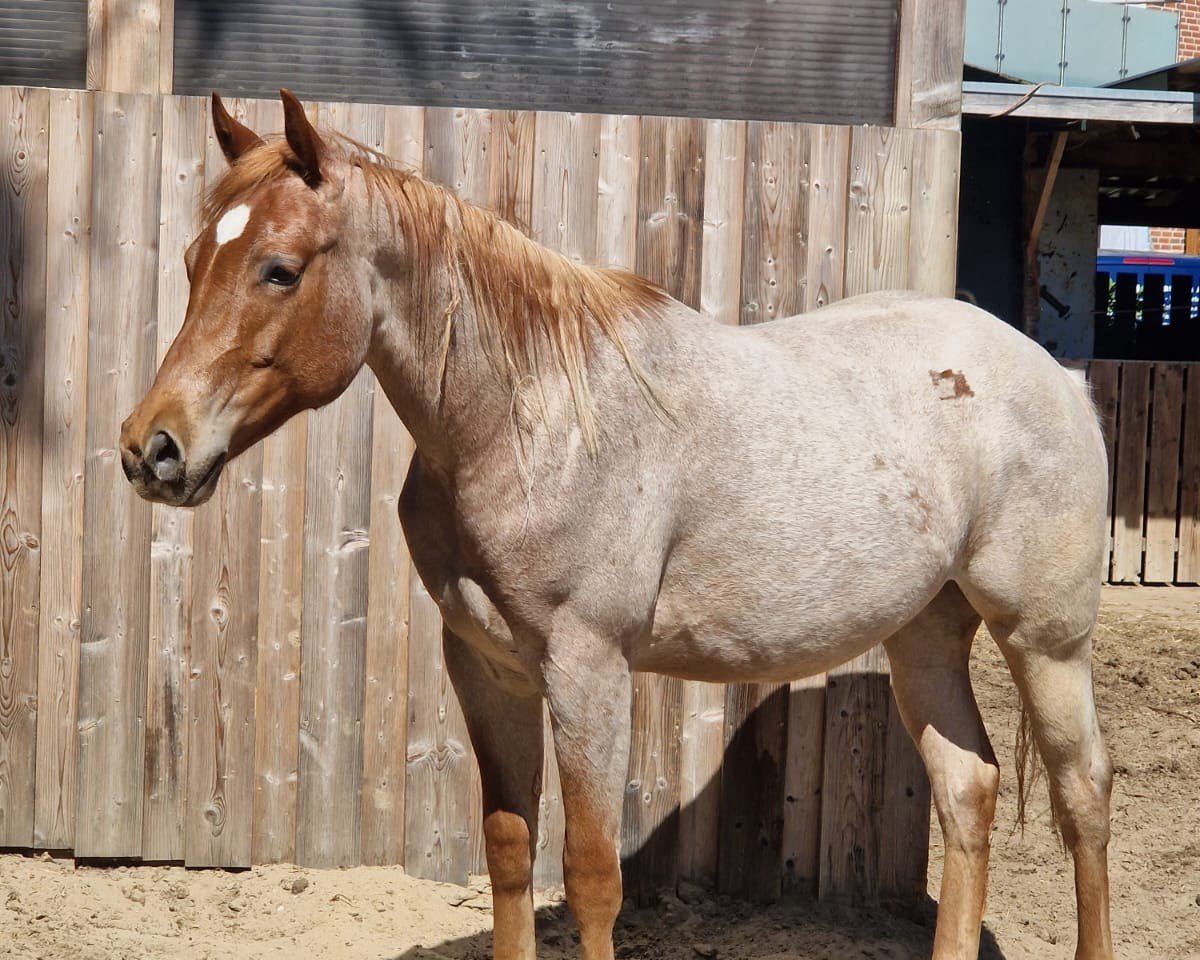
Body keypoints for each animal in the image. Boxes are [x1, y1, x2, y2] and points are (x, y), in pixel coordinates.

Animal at [120, 90, 1114, 960]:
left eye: (279, 269)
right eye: (192, 261)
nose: (152, 448)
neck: (531, 420)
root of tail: (1057, 378)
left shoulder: (588, 670)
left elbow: (593, 875)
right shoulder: (486, 668)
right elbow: (510, 850)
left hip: (1045, 642)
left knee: (1083, 798)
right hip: (925, 632)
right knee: (968, 789)